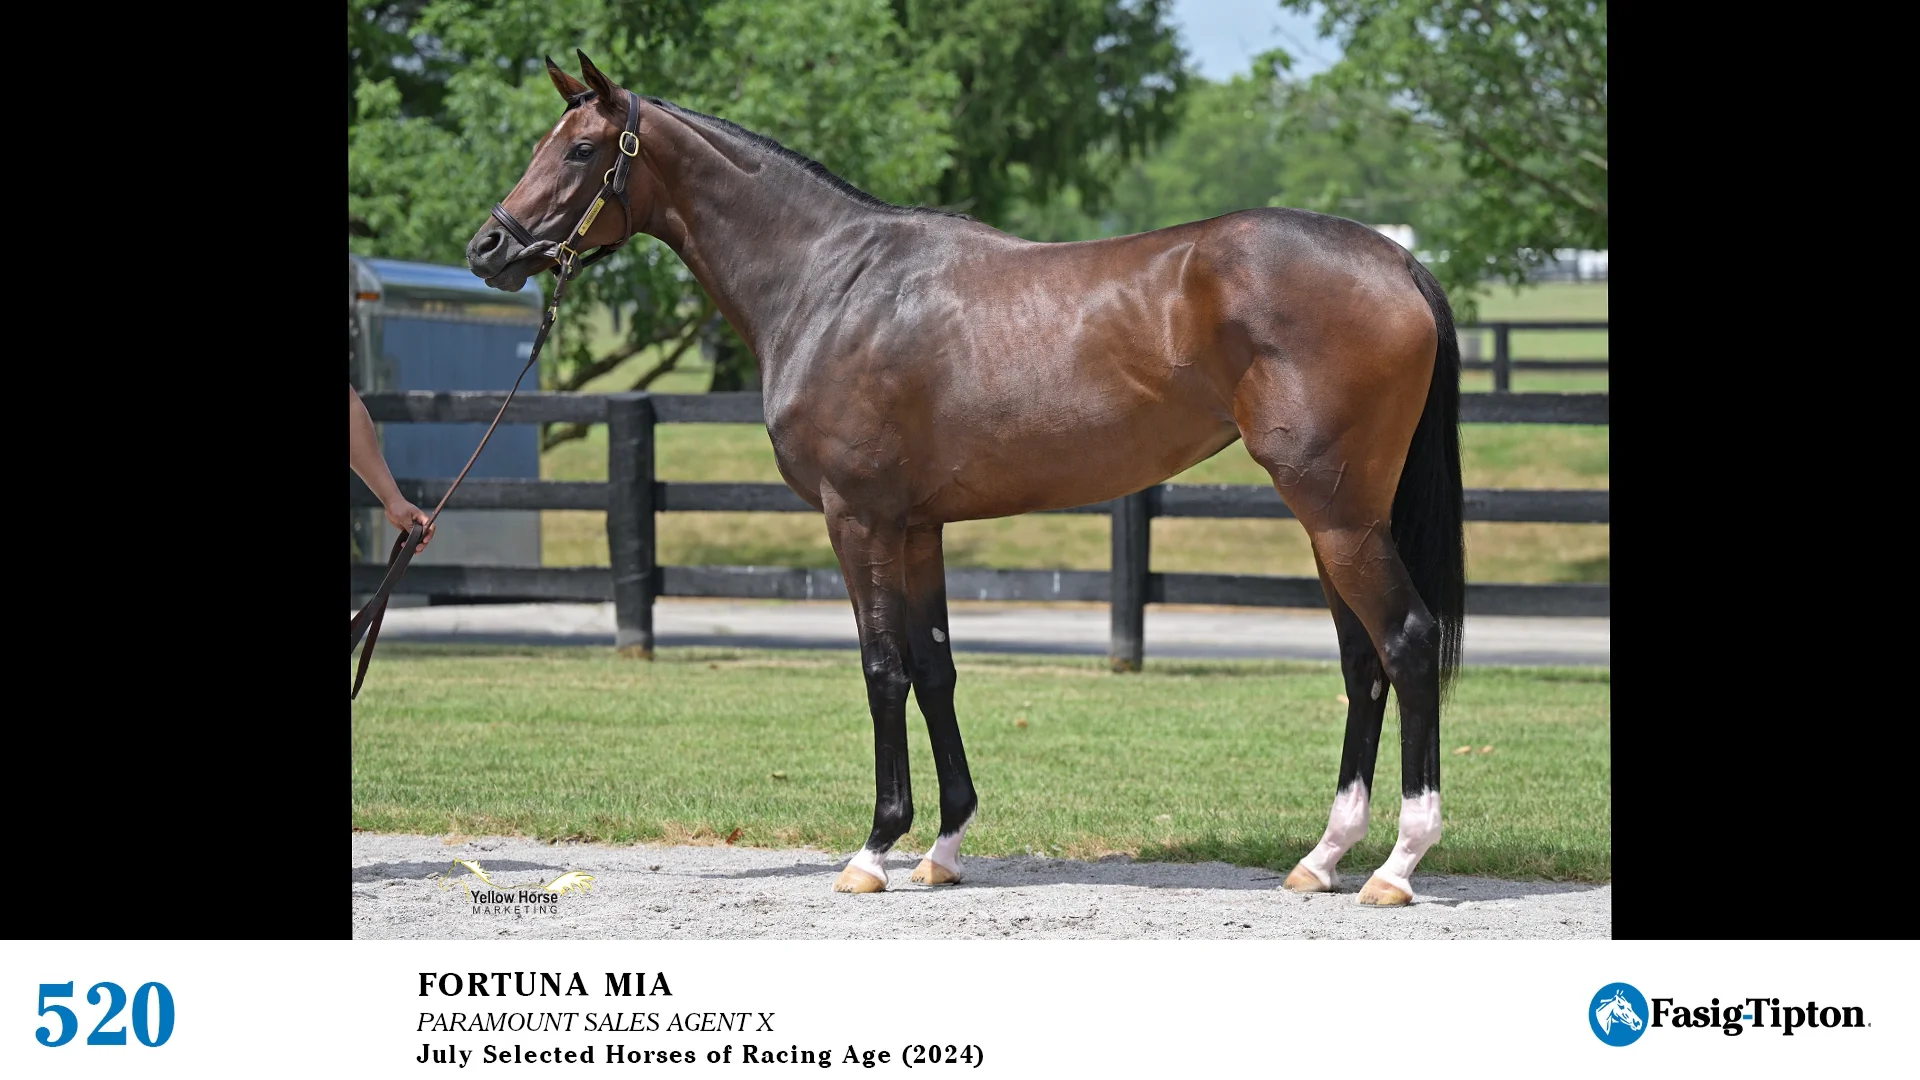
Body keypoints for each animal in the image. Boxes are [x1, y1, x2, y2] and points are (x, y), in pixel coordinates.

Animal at [465, 52, 1466, 906]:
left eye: (581, 149)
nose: (488, 248)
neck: (832, 282)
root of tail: (1397, 259)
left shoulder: (858, 518)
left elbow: (881, 667)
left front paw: (874, 849)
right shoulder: (917, 527)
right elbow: (935, 666)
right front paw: (942, 849)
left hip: (1336, 512)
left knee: (1406, 642)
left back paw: (1397, 865)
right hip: (1338, 518)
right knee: (1363, 662)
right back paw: (1323, 858)